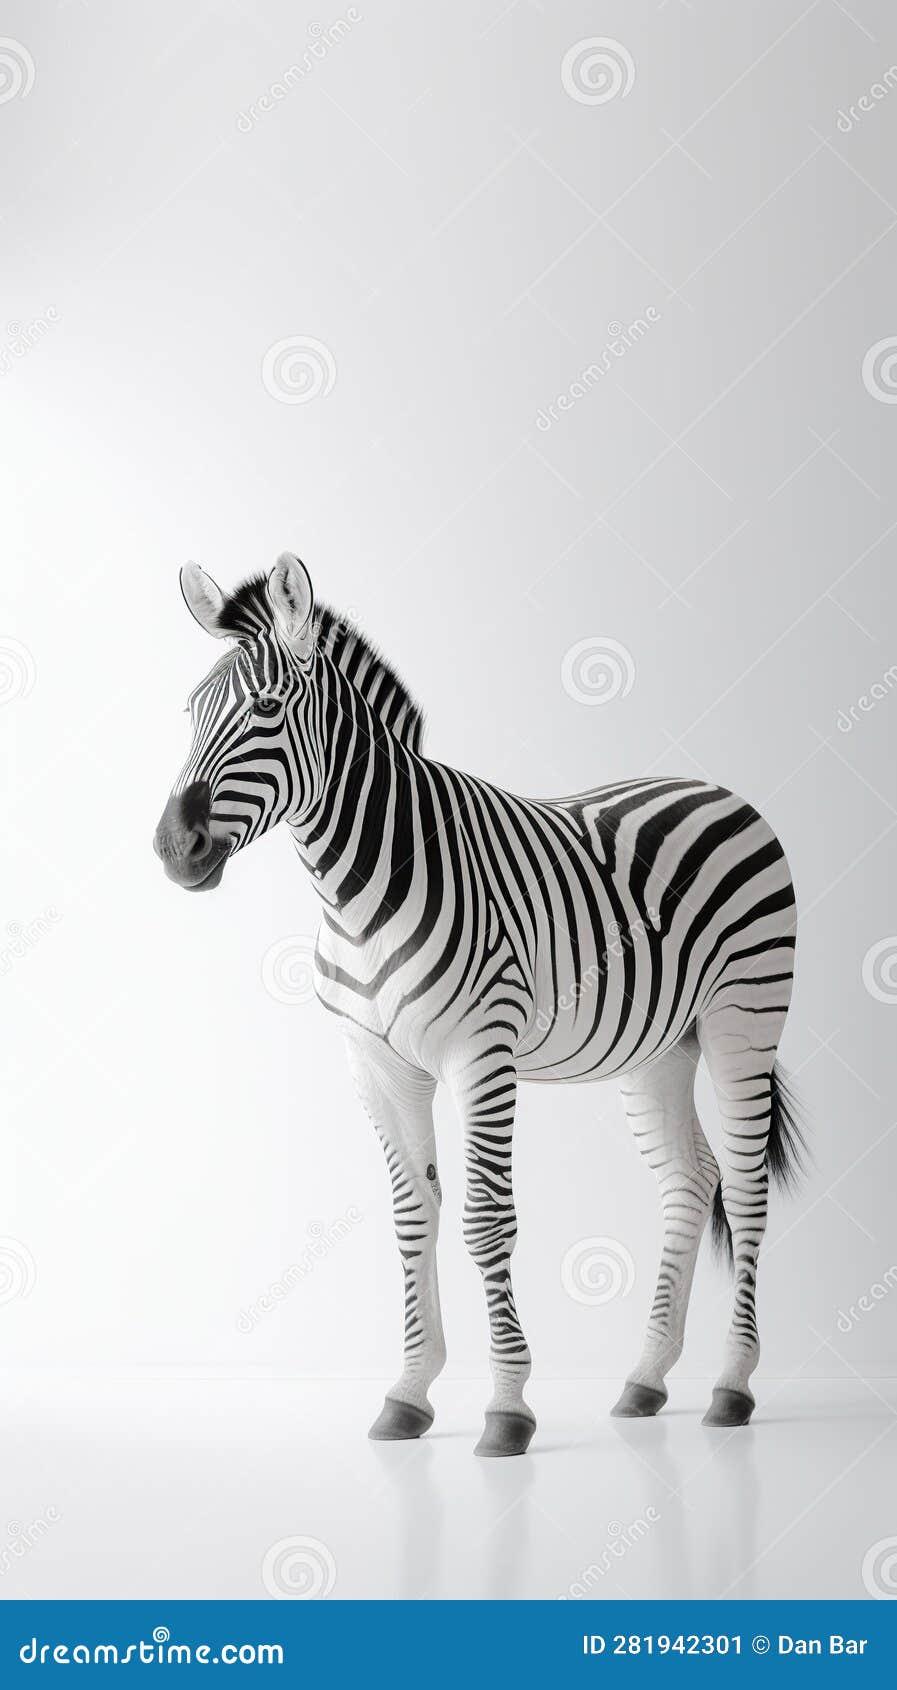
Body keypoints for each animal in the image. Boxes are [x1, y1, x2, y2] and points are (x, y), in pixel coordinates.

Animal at [154, 552, 804, 1457]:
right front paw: (408, 1393)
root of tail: (716, 790)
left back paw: (731, 1387)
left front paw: (506, 1408)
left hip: (744, 1017)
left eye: (268, 709)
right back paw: (644, 1379)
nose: (172, 849)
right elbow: (411, 1216)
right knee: (689, 1179)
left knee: (742, 1186)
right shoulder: (376, 1064)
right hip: (657, 1047)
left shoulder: (479, 1054)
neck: (358, 892)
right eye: (189, 714)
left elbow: (486, 1219)